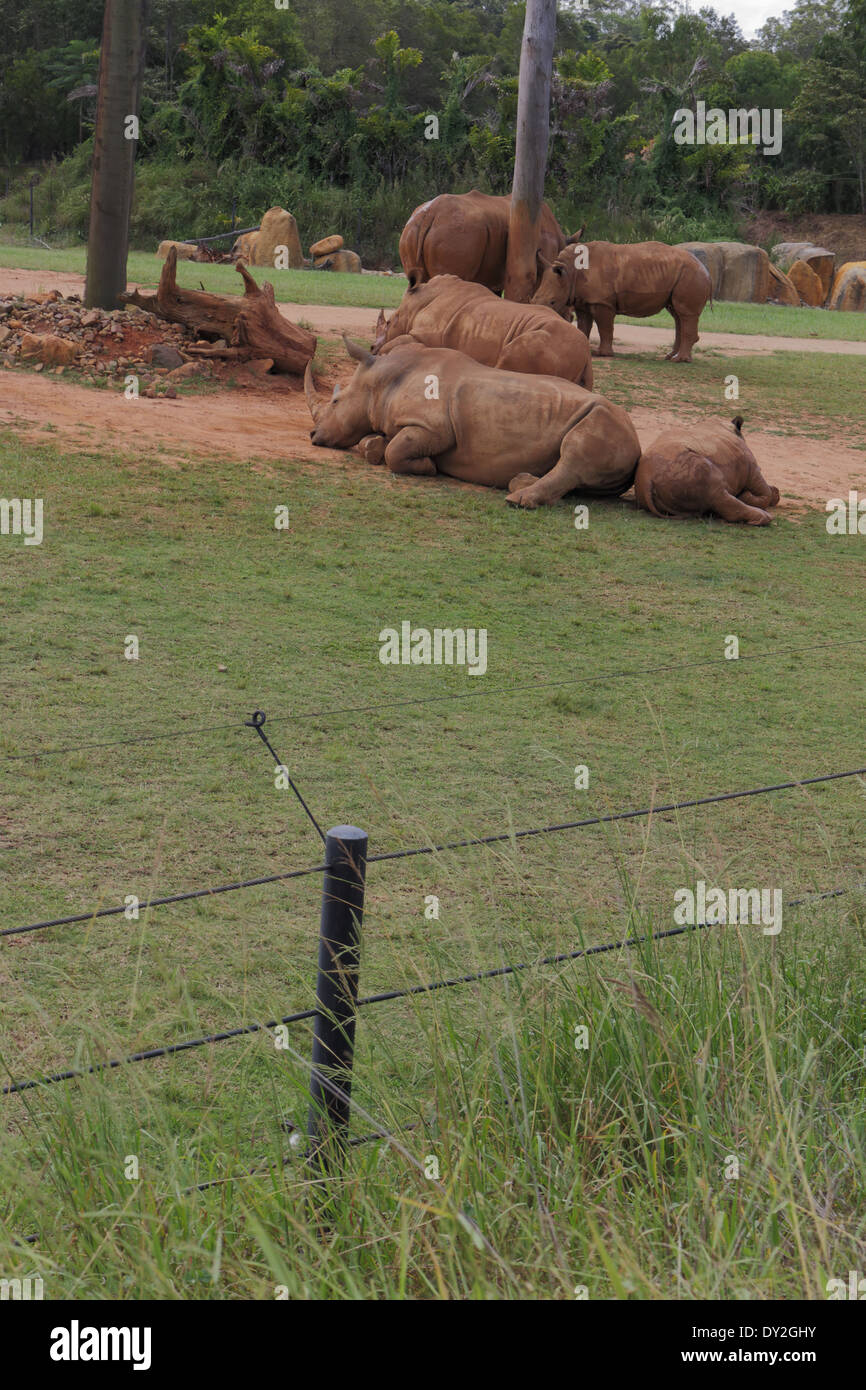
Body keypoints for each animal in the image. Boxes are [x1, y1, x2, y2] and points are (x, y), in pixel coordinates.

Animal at [305, 339, 640, 508]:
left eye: (335, 402)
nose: (312, 434)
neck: (382, 380)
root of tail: (638, 447)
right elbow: (378, 444)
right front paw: (374, 447)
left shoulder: (434, 428)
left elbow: (395, 452)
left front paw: (429, 467)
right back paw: (520, 481)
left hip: (603, 419)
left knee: (575, 455)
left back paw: (516, 499)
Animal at [373, 275, 593, 389]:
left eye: (389, 322)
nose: (372, 347)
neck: (417, 304)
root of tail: (587, 354)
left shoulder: (424, 334)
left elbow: (395, 343)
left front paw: (384, 354)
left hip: (547, 342)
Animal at [532, 240, 712, 362]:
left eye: (552, 302)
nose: (538, 313)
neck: (570, 272)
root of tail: (705, 269)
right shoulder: (583, 301)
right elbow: (584, 326)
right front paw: (581, 346)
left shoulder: (602, 302)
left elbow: (605, 328)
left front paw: (602, 354)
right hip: (682, 275)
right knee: (677, 314)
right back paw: (670, 356)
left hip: (691, 274)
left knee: (685, 314)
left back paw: (679, 360)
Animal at [634, 417, 780, 524]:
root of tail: (647, 479)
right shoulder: (751, 468)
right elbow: (765, 493)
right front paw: (752, 496)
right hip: (687, 468)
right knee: (716, 492)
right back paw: (765, 517)